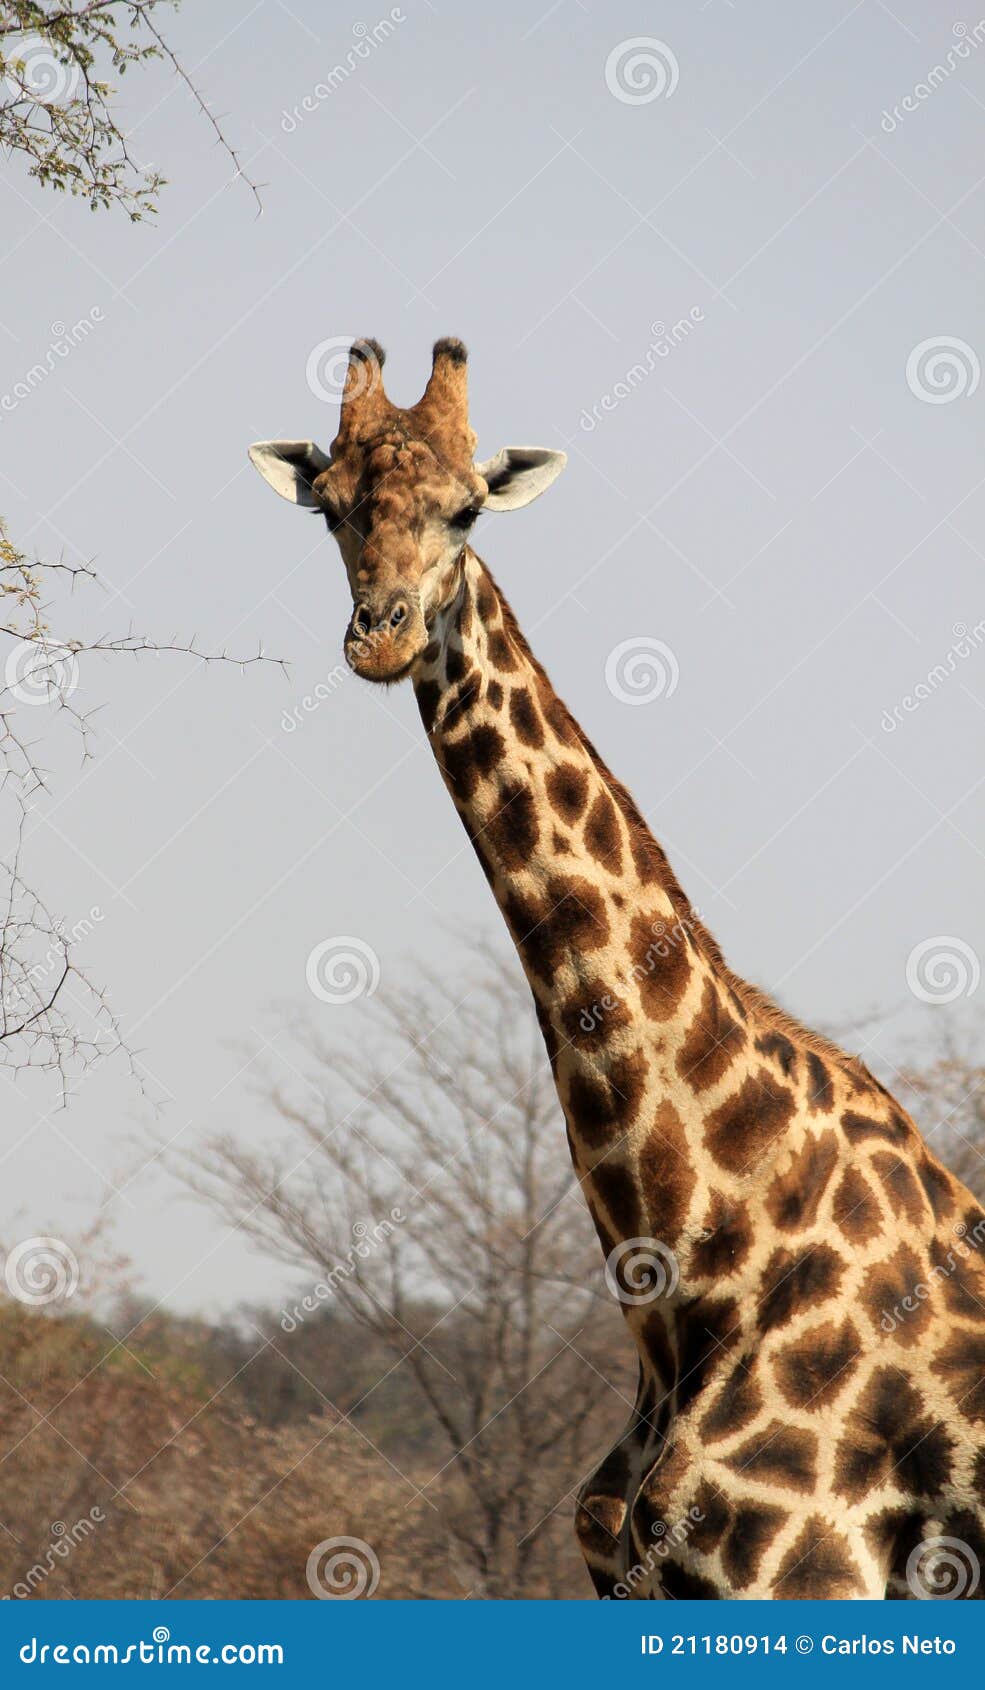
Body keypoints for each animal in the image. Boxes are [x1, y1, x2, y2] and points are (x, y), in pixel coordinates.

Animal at [249, 337, 985, 1601]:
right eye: (331, 508)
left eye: (464, 509)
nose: (380, 634)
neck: (697, 1260)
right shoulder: (629, 1570)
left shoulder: (801, 1566)